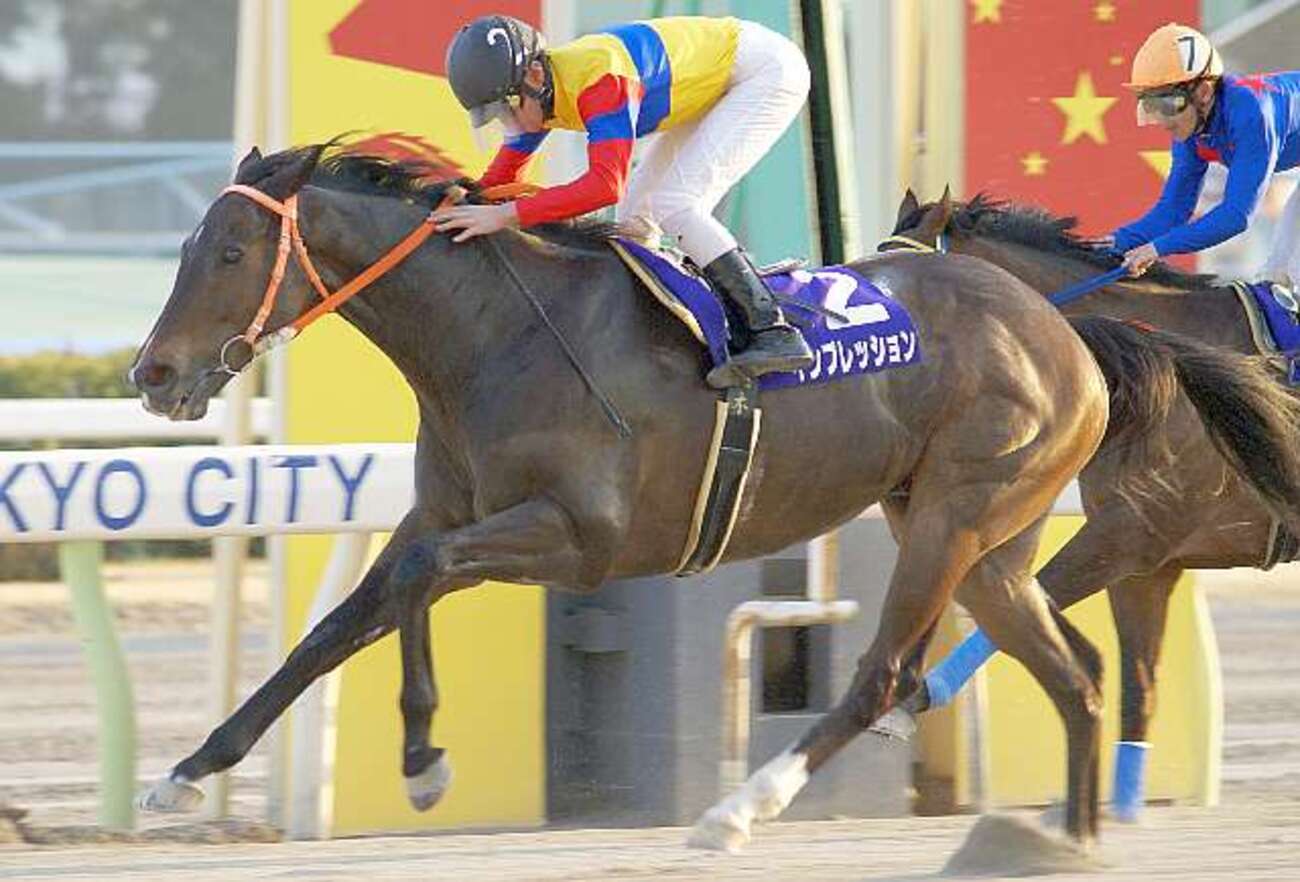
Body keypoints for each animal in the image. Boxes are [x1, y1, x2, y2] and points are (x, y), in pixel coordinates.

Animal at [125, 142, 1241, 856]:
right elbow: (332, 630)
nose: (152, 372)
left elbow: (413, 583)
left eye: (230, 253)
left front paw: (422, 758)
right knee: (1080, 676)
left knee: (885, 674)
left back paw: (736, 811)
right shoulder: (446, 513)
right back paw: (1076, 837)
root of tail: (1067, 332)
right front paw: (183, 772)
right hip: (989, 544)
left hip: (953, 517)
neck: (491, 336)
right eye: (182, 248)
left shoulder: (580, 538)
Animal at [886, 188, 1300, 818]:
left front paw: (913, 700)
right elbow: (1140, 690)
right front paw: (1123, 809)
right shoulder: (1147, 565)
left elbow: (1022, 604)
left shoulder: (1125, 537)